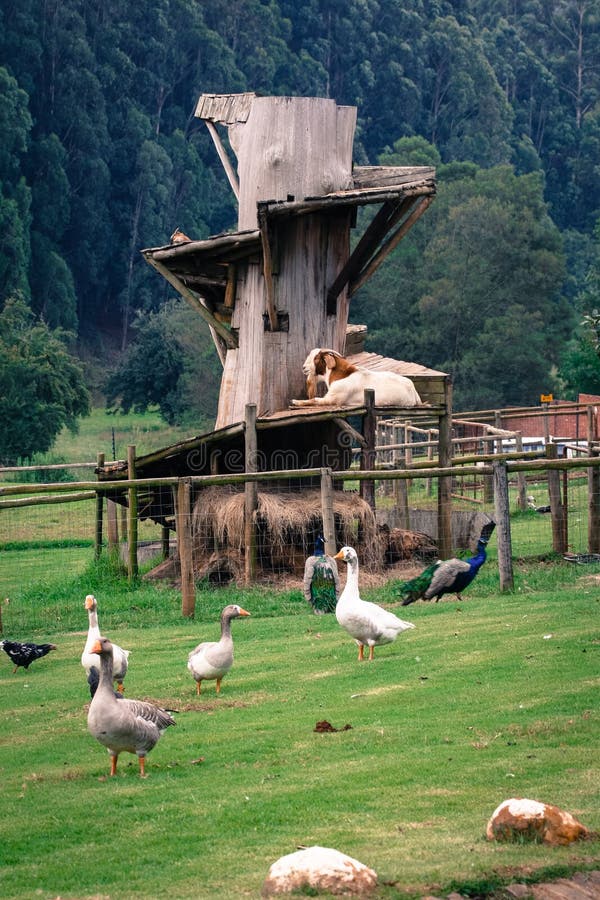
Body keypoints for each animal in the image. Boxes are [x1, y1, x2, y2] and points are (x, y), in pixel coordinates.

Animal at [292, 349, 423, 408]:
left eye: (316, 358)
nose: (304, 367)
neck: (342, 375)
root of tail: (413, 390)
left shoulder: (333, 399)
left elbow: (314, 400)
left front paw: (295, 401)